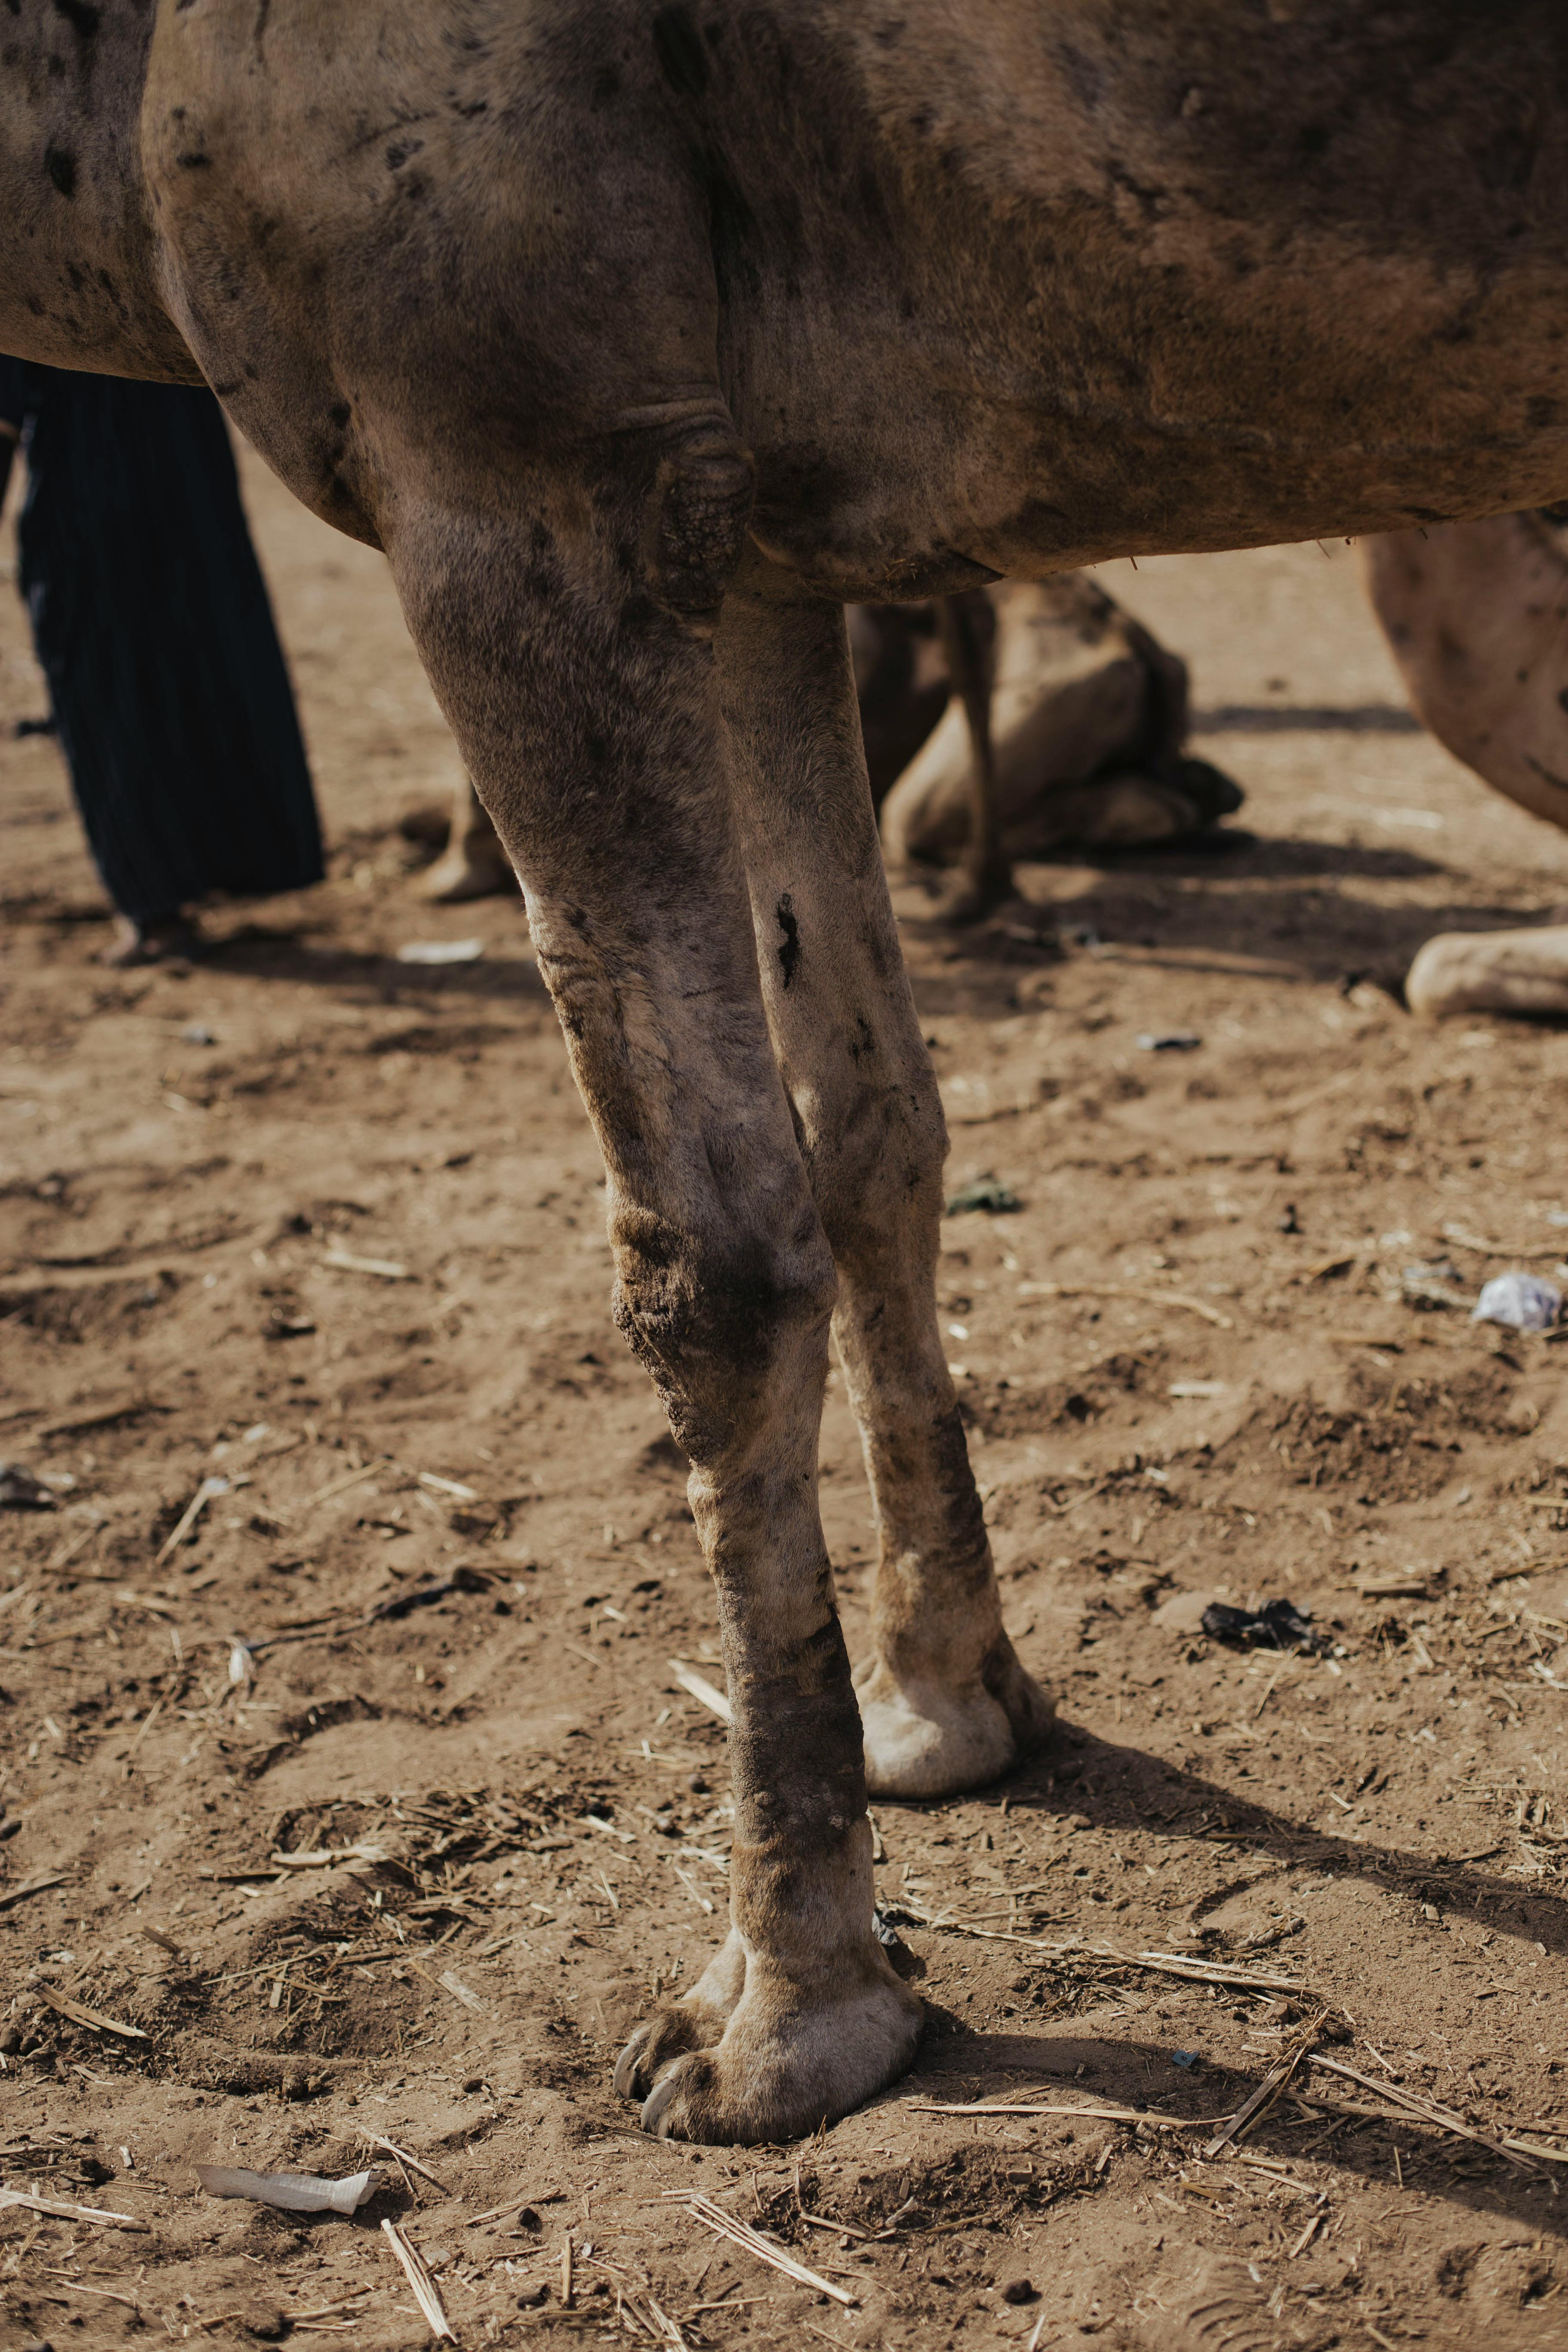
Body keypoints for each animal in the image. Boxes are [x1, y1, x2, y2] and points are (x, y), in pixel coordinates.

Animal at [6, 0, 1568, 2147]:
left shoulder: (521, 465)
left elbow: (710, 1267)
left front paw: (781, 2010)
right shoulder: (752, 545)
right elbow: (874, 1132)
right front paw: (947, 1706)